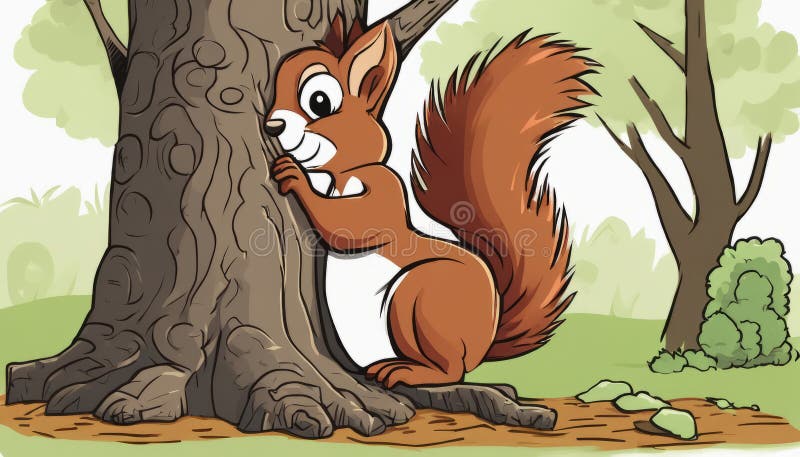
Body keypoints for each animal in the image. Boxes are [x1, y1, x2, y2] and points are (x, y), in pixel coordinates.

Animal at [265, 16, 595, 388]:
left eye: (319, 101)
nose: (272, 125)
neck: (346, 172)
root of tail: (484, 344)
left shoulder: (385, 190)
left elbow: (353, 226)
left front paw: (295, 176)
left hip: (422, 297)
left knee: (451, 370)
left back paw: (408, 371)